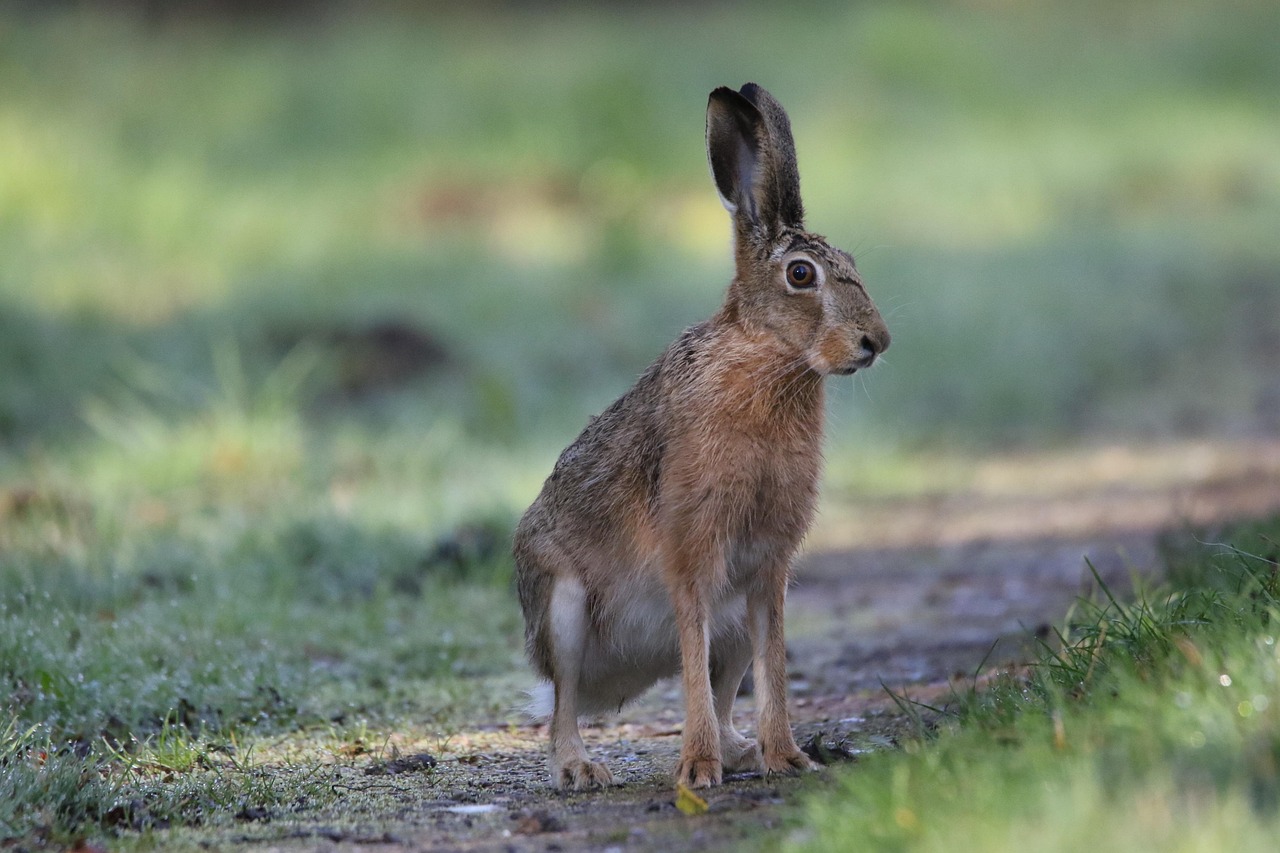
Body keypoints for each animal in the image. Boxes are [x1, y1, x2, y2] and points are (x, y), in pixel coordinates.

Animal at [514, 82, 890, 791]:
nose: (875, 342)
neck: (771, 360)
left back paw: (743, 752)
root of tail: (619, 685)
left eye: (853, 265)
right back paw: (583, 768)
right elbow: (694, 649)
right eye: (802, 275)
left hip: (732, 620)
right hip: (561, 608)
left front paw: (786, 758)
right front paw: (697, 771)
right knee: (563, 703)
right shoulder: (692, 547)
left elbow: (772, 665)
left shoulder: (768, 566)